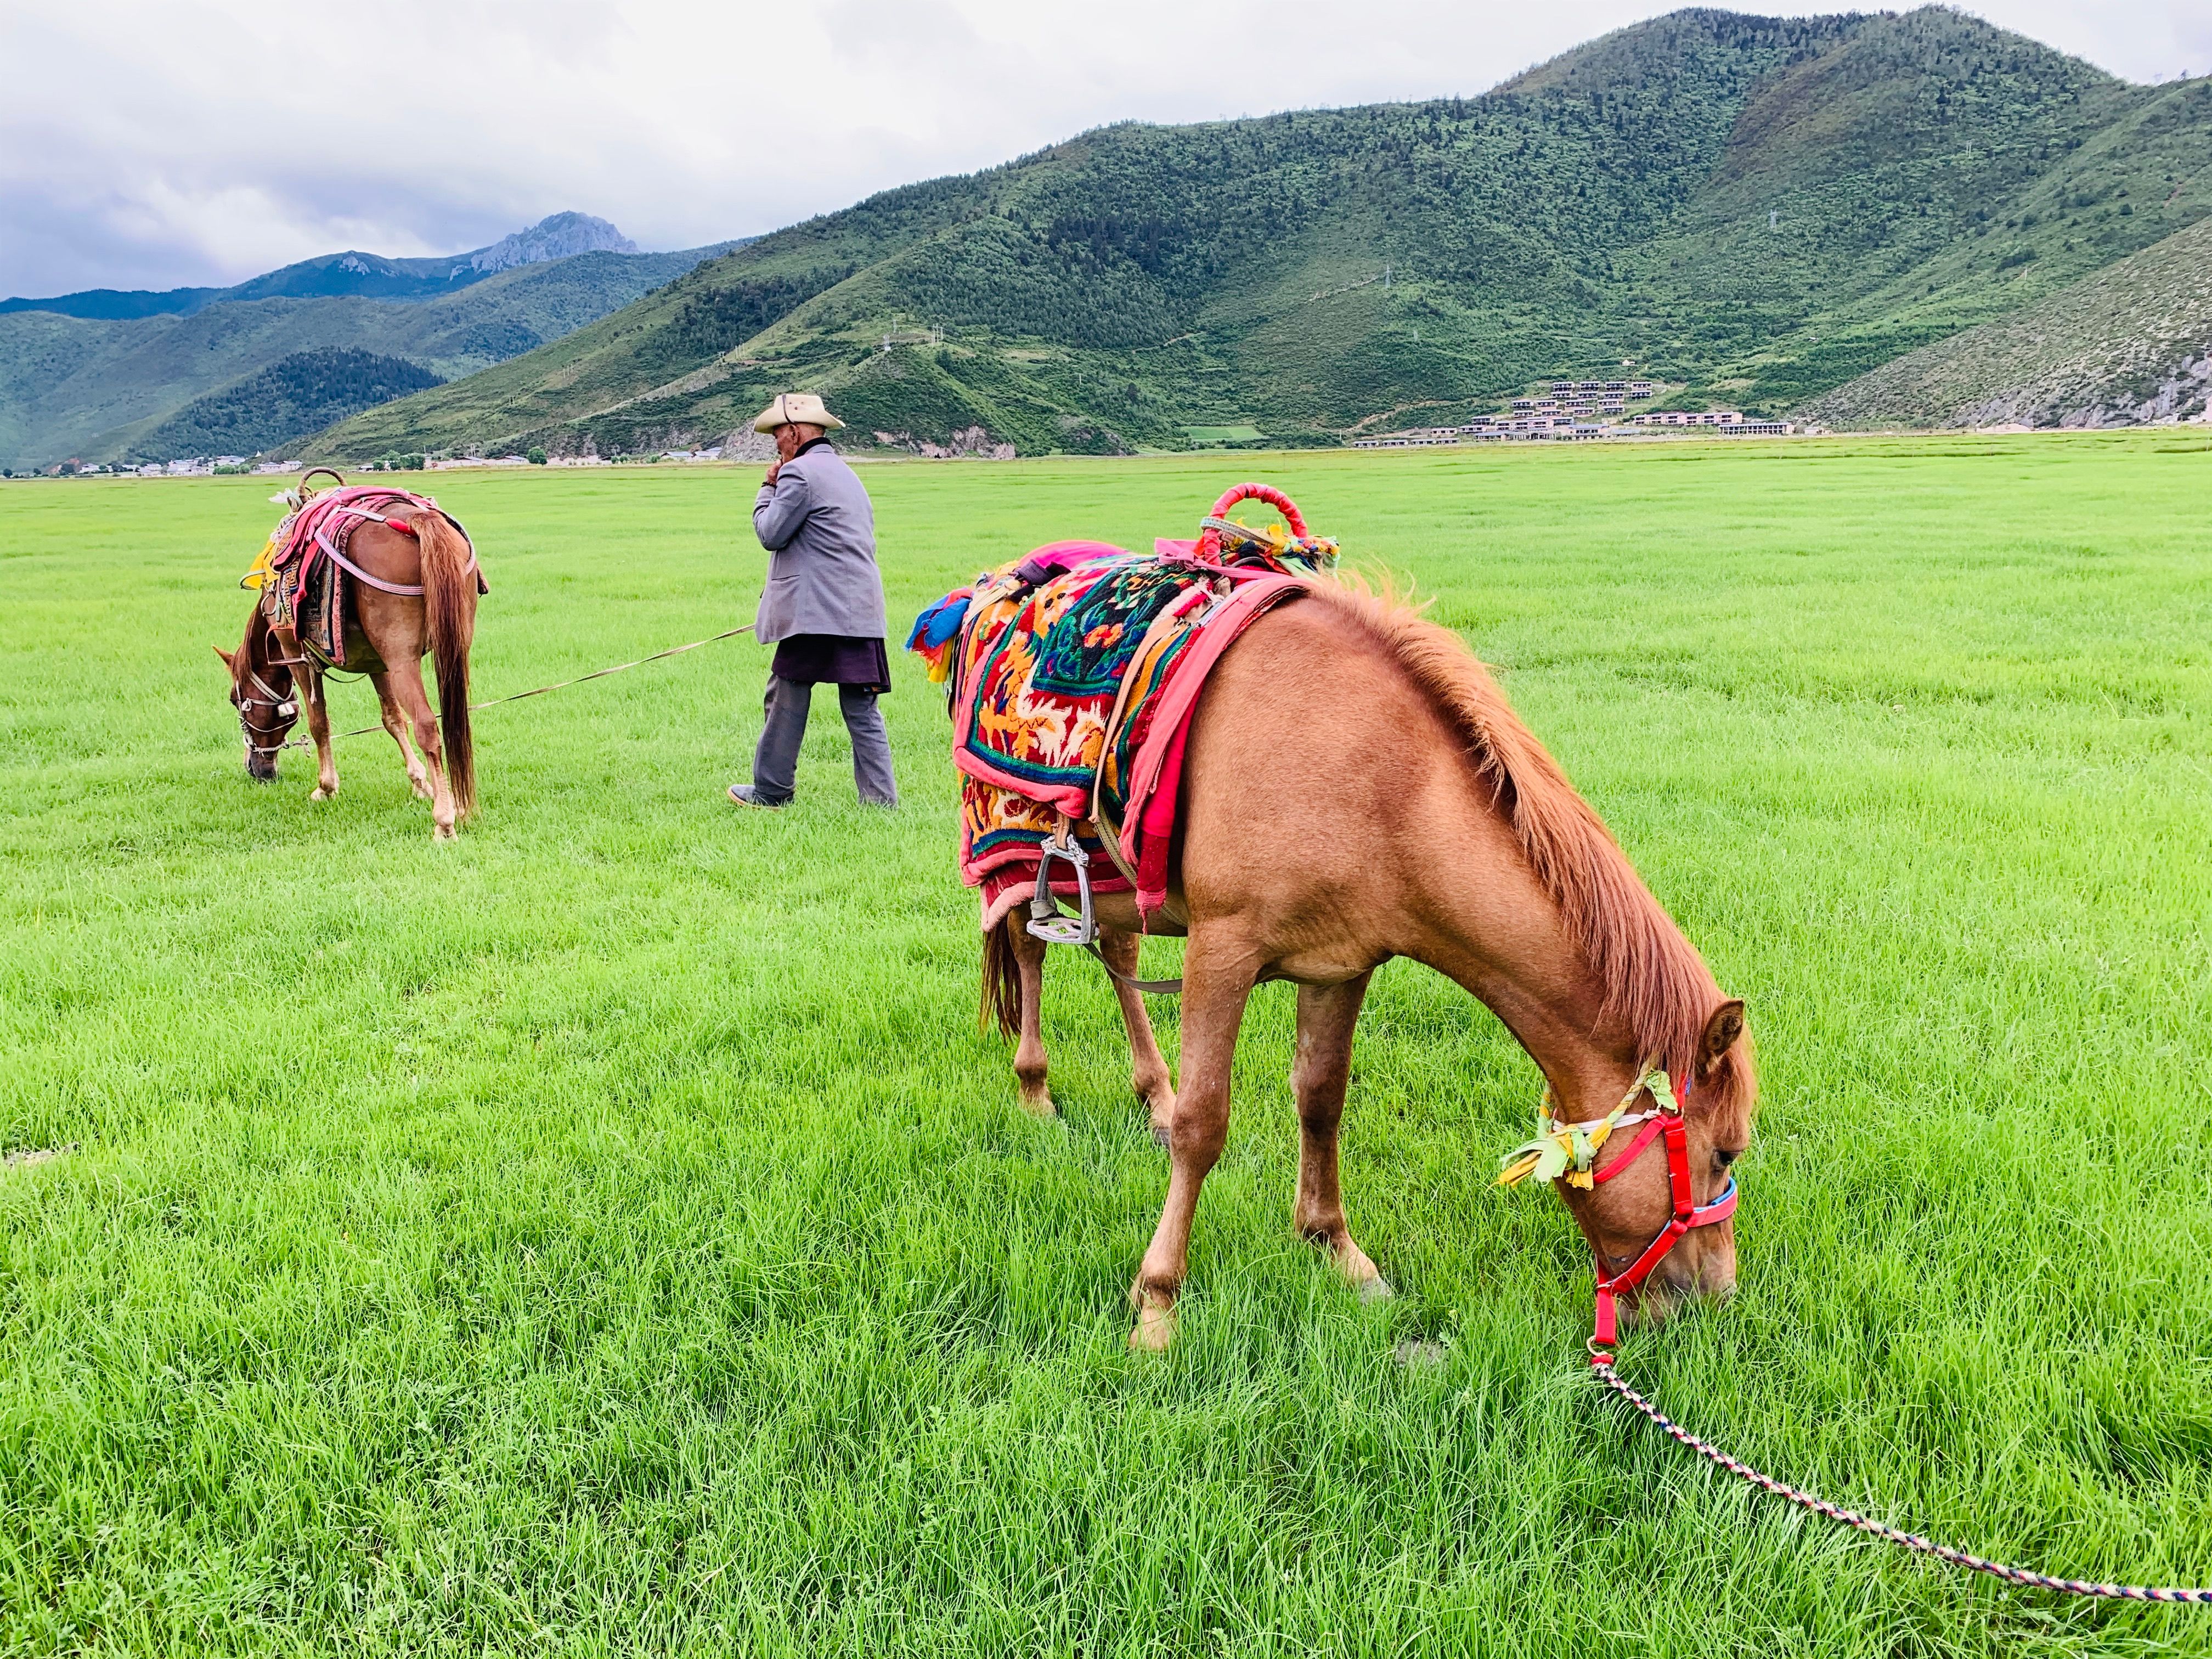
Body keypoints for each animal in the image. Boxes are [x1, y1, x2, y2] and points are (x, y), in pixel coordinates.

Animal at [216, 505, 479, 839]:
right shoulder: (378, 663)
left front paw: (326, 787)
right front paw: (420, 783)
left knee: (427, 727)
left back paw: (444, 821)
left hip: (402, 658)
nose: (257, 770)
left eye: (235, 701)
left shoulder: (296, 654)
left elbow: (319, 722)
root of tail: (416, 520)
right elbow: (393, 720)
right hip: (452, 647)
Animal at [980, 583, 1756, 1350]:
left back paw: (1153, 1096)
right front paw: (1158, 1304)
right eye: (1726, 1154)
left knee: (1119, 958)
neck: (1381, 781)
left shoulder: (1340, 965)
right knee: (1029, 949)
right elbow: (1205, 1127)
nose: (1717, 1297)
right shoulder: (1222, 950)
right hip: (1020, 865)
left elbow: (1322, 1100)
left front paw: (1336, 1251)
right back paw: (1035, 1091)